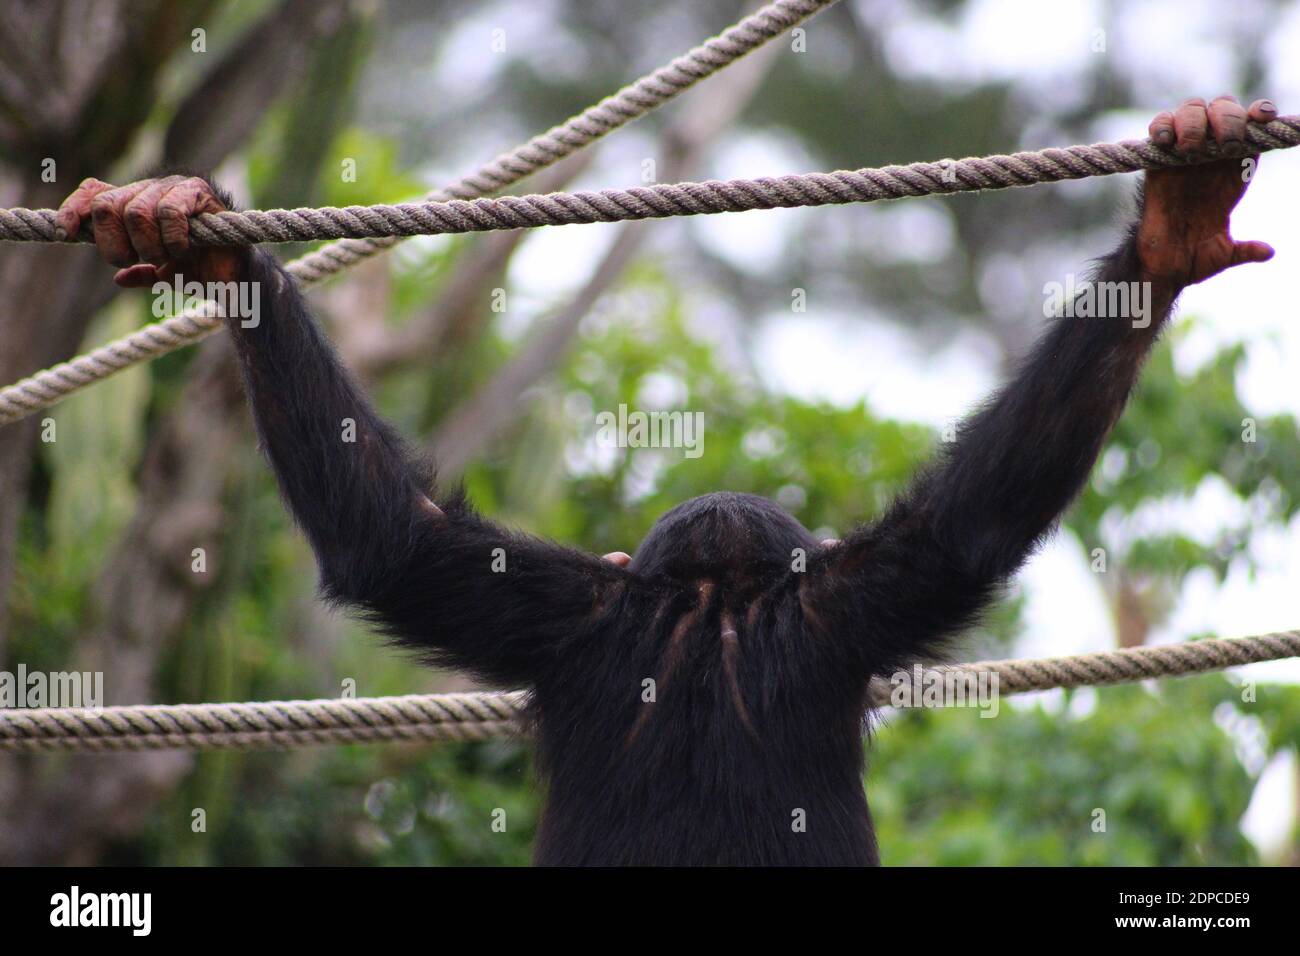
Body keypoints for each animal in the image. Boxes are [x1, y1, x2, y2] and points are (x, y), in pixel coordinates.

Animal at [58, 95, 1277, 865]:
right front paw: (1166, 234)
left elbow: (389, 538)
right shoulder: (836, 610)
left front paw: (1171, 226)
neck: (712, 604)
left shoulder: (572, 616)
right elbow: (968, 526)